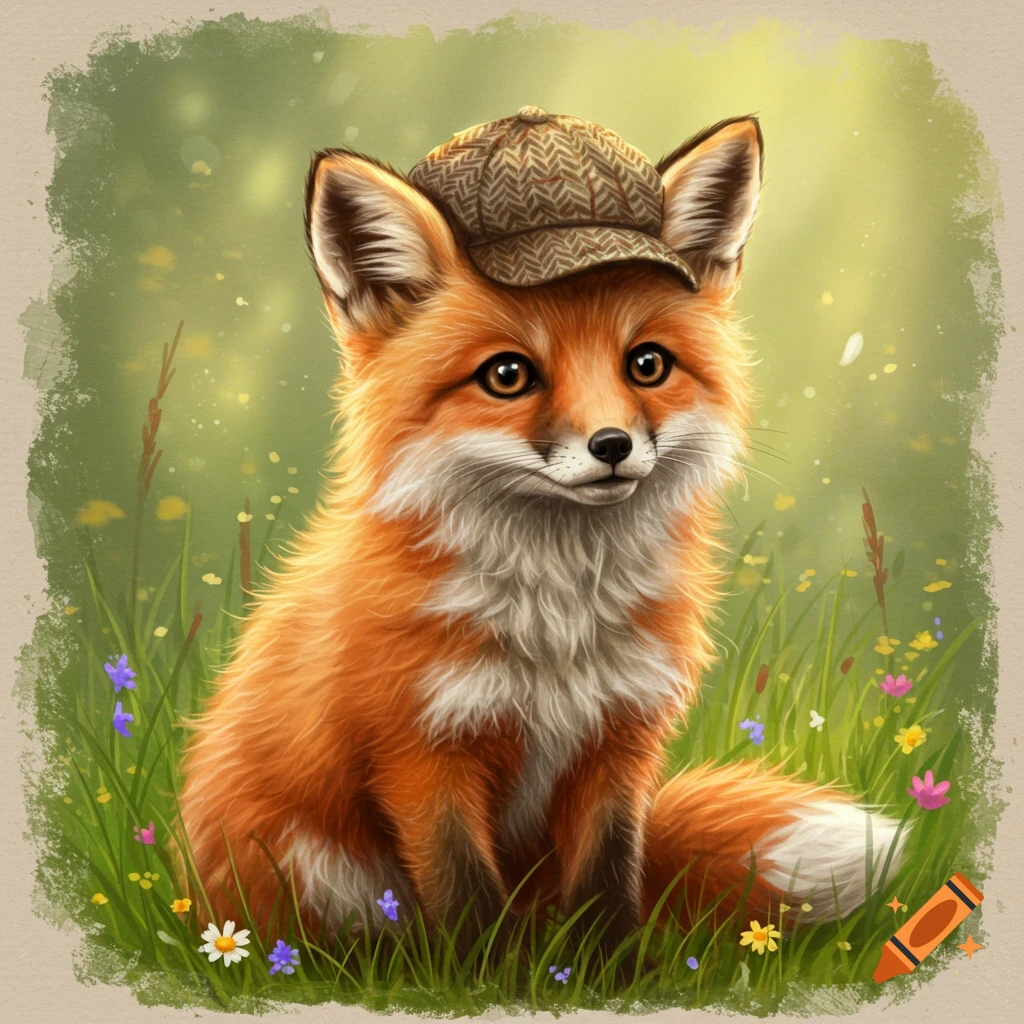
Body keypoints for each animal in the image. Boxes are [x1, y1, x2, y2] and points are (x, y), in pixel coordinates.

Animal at [177, 113, 905, 956]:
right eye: (507, 375)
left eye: (647, 363)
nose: (613, 445)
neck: (558, 620)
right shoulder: (421, 753)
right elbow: (467, 907)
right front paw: (483, 979)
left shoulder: (618, 738)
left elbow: (607, 892)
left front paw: (611, 975)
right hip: (312, 867)